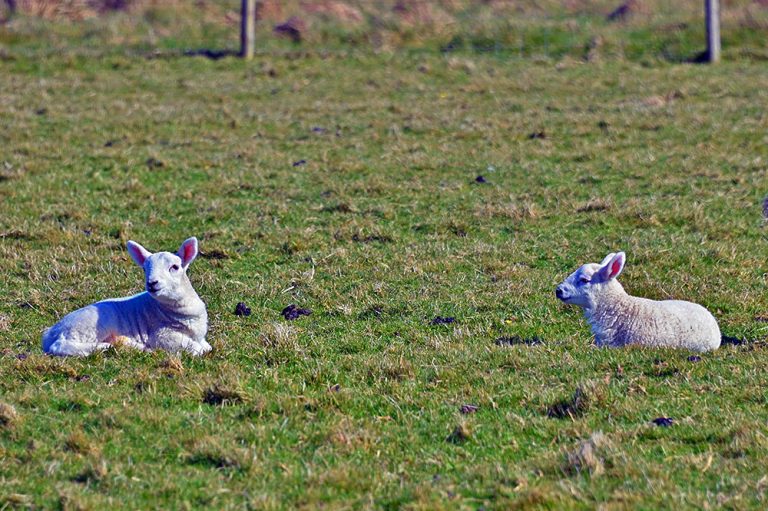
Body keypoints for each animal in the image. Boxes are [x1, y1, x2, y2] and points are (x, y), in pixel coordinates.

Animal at [42, 237, 210, 357]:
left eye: (175, 267)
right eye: (144, 269)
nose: (152, 283)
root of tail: (48, 335)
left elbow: (207, 347)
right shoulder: (161, 334)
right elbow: (197, 349)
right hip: (90, 325)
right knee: (61, 345)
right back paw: (108, 346)